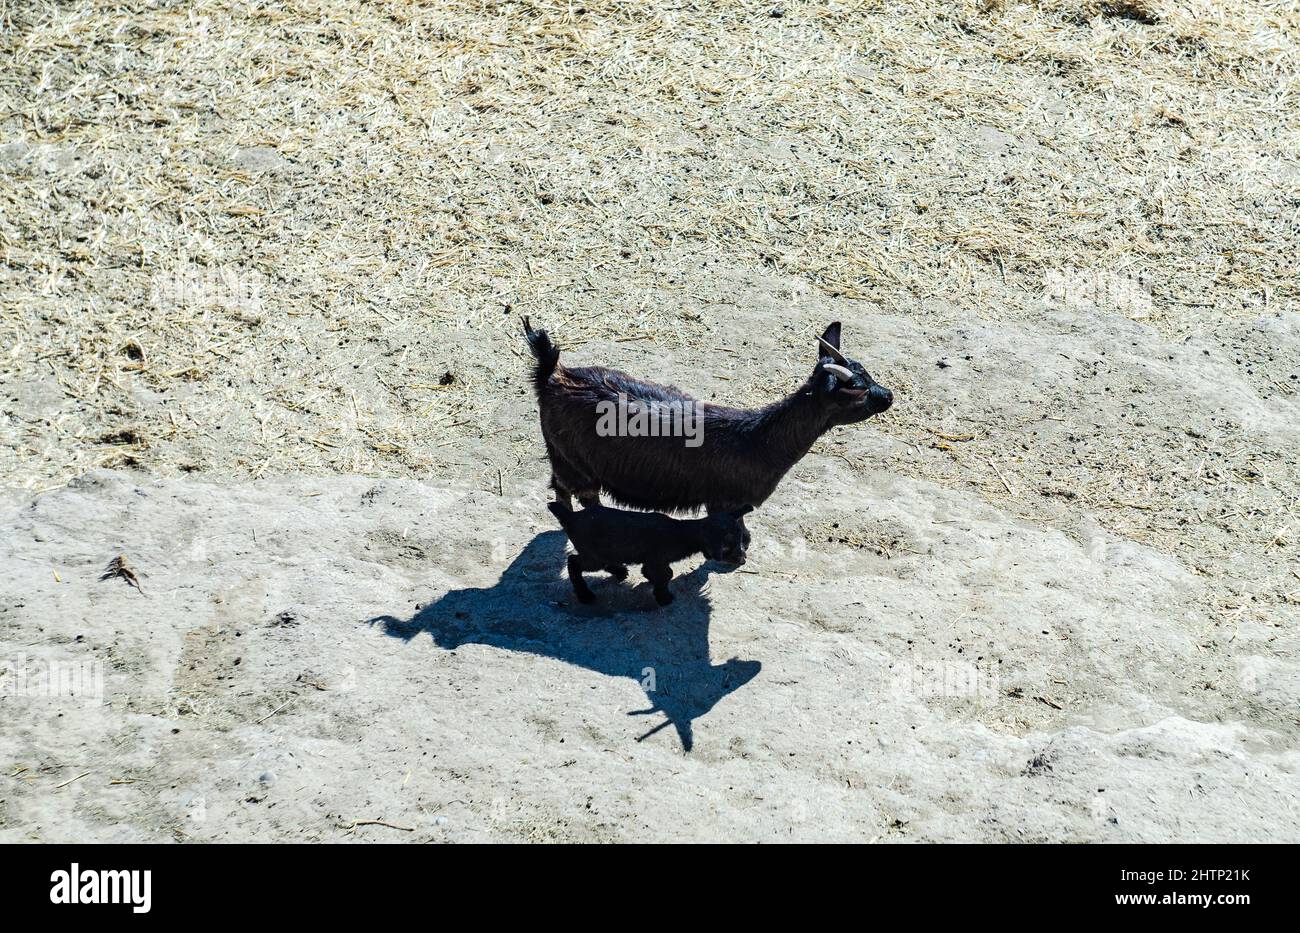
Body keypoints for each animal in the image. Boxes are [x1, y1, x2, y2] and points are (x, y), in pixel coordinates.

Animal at [522, 317, 892, 520]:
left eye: (867, 372)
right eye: (856, 391)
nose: (887, 396)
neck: (757, 442)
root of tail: (552, 375)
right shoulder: (725, 503)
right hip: (572, 459)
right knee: (575, 492)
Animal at [548, 502, 751, 606]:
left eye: (741, 540)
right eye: (727, 548)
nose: (743, 560)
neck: (682, 533)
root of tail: (571, 517)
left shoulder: (653, 561)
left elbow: (655, 572)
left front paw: (652, 582)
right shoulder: (657, 559)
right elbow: (666, 575)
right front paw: (664, 597)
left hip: (603, 551)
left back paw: (620, 571)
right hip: (593, 556)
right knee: (573, 562)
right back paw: (585, 595)